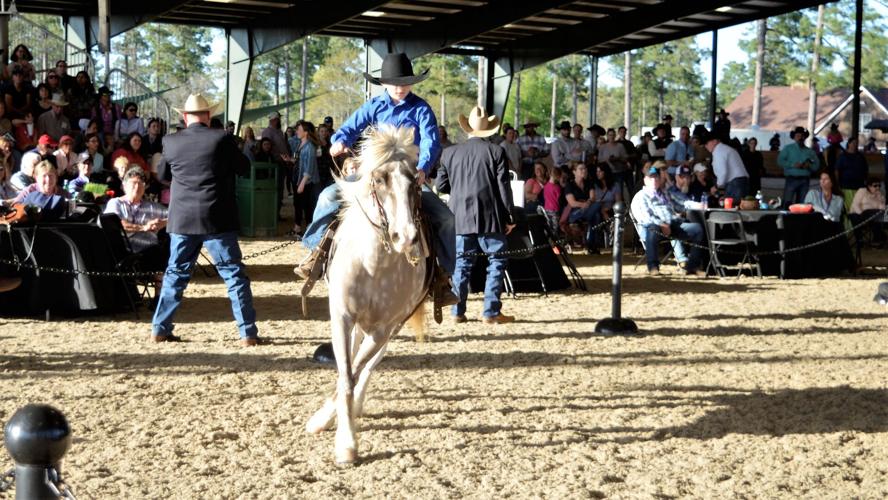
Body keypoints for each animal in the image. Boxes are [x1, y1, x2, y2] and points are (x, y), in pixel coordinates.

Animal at [305, 125, 429, 465]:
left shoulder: (384, 328)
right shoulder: (342, 317)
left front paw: (343, 436)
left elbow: (358, 370)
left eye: (414, 181)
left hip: (393, 324)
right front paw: (342, 437)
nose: (406, 237)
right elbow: (345, 373)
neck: (374, 263)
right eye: (380, 179)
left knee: (370, 364)